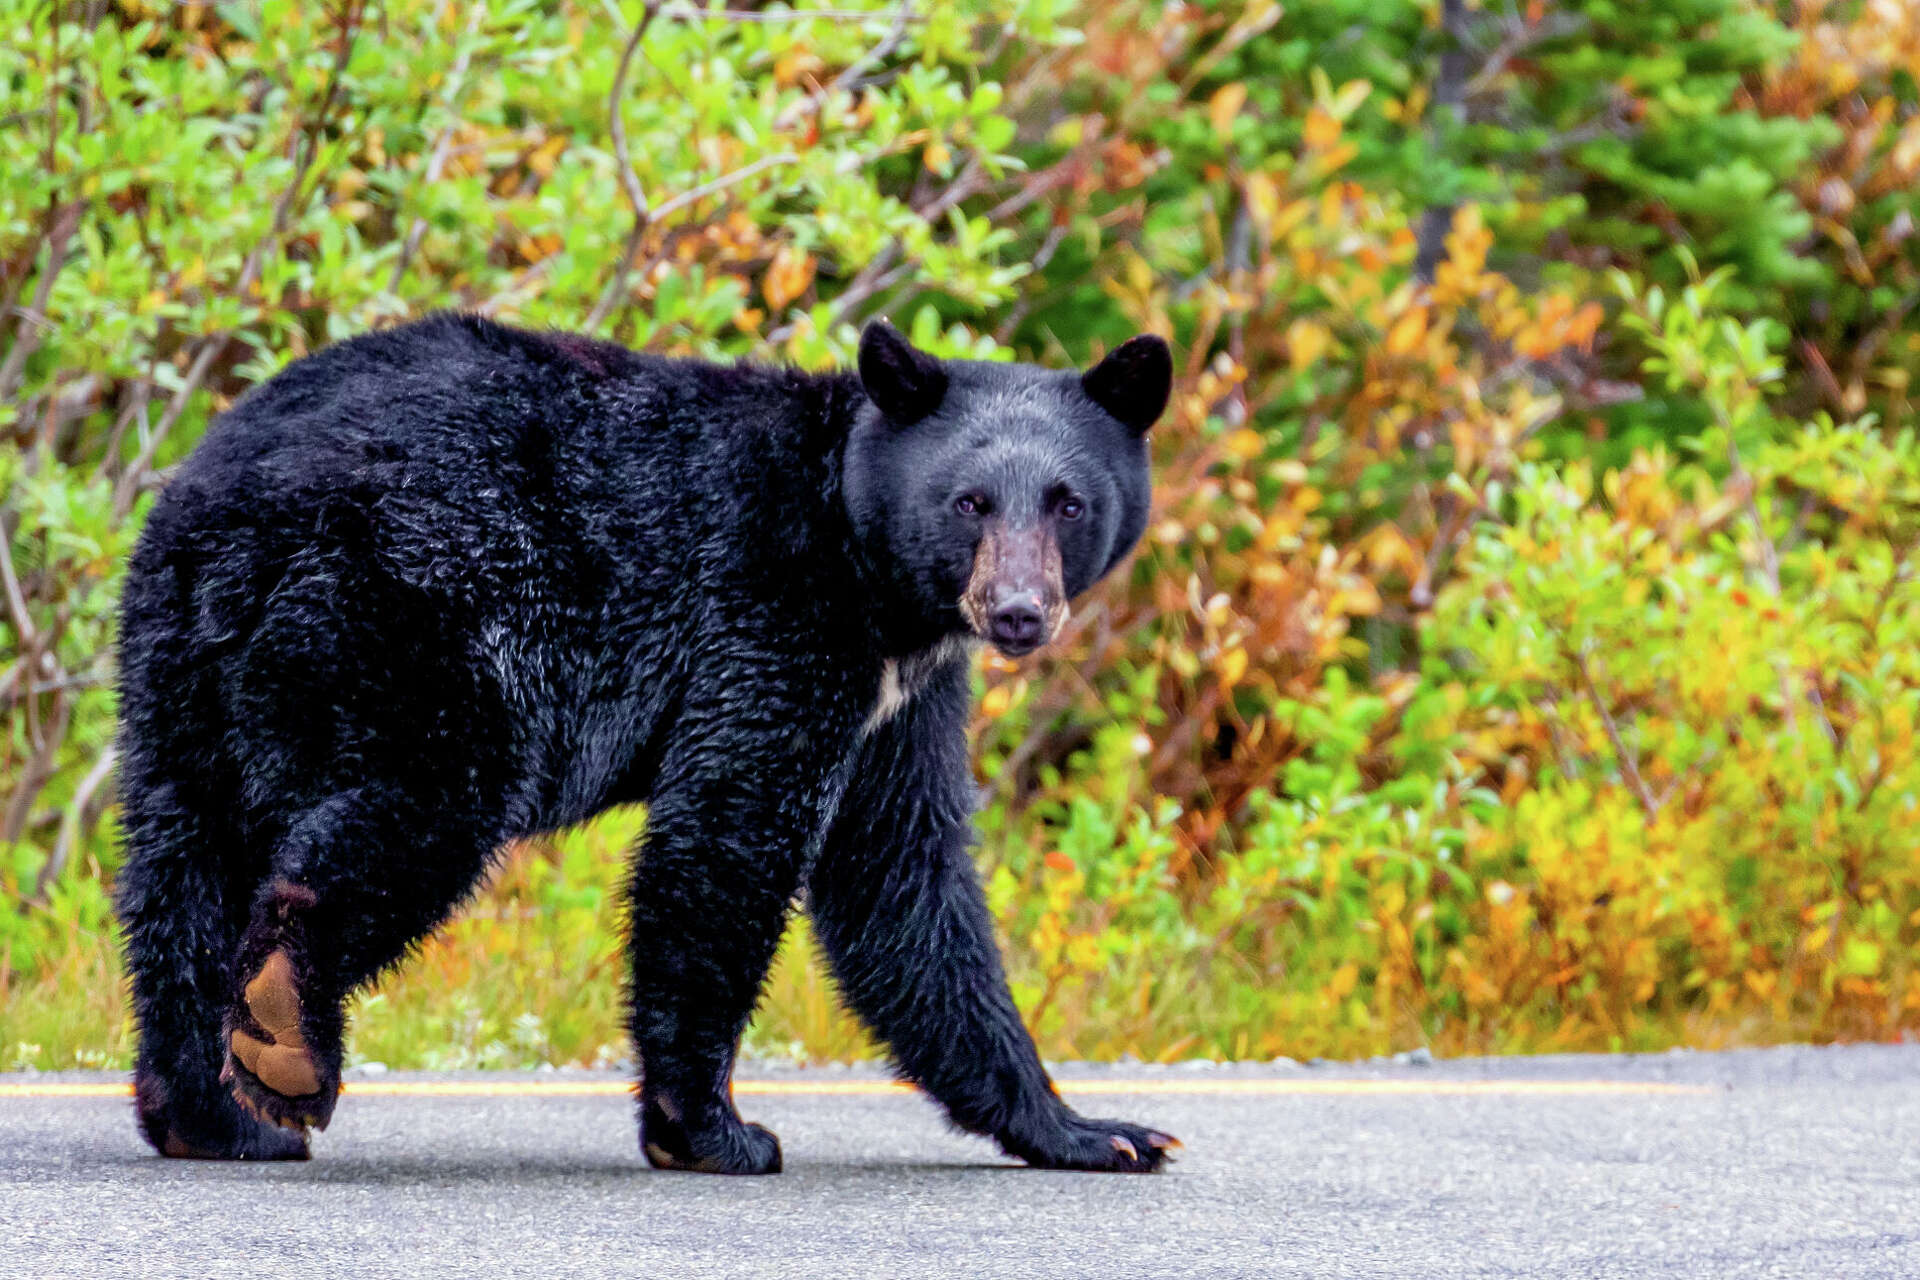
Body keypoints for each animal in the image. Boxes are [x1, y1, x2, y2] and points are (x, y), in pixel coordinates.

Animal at [113, 313, 1177, 1174]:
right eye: (971, 502)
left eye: (1068, 502)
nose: (1019, 612)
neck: (863, 562)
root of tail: (235, 505)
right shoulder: (773, 619)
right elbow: (727, 837)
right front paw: (710, 1130)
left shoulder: (899, 700)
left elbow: (902, 880)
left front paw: (1089, 1129)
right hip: (417, 619)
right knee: (419, 809)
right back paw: (287, 1033)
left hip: (177, 670)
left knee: (181, 873)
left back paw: (215, 1116)